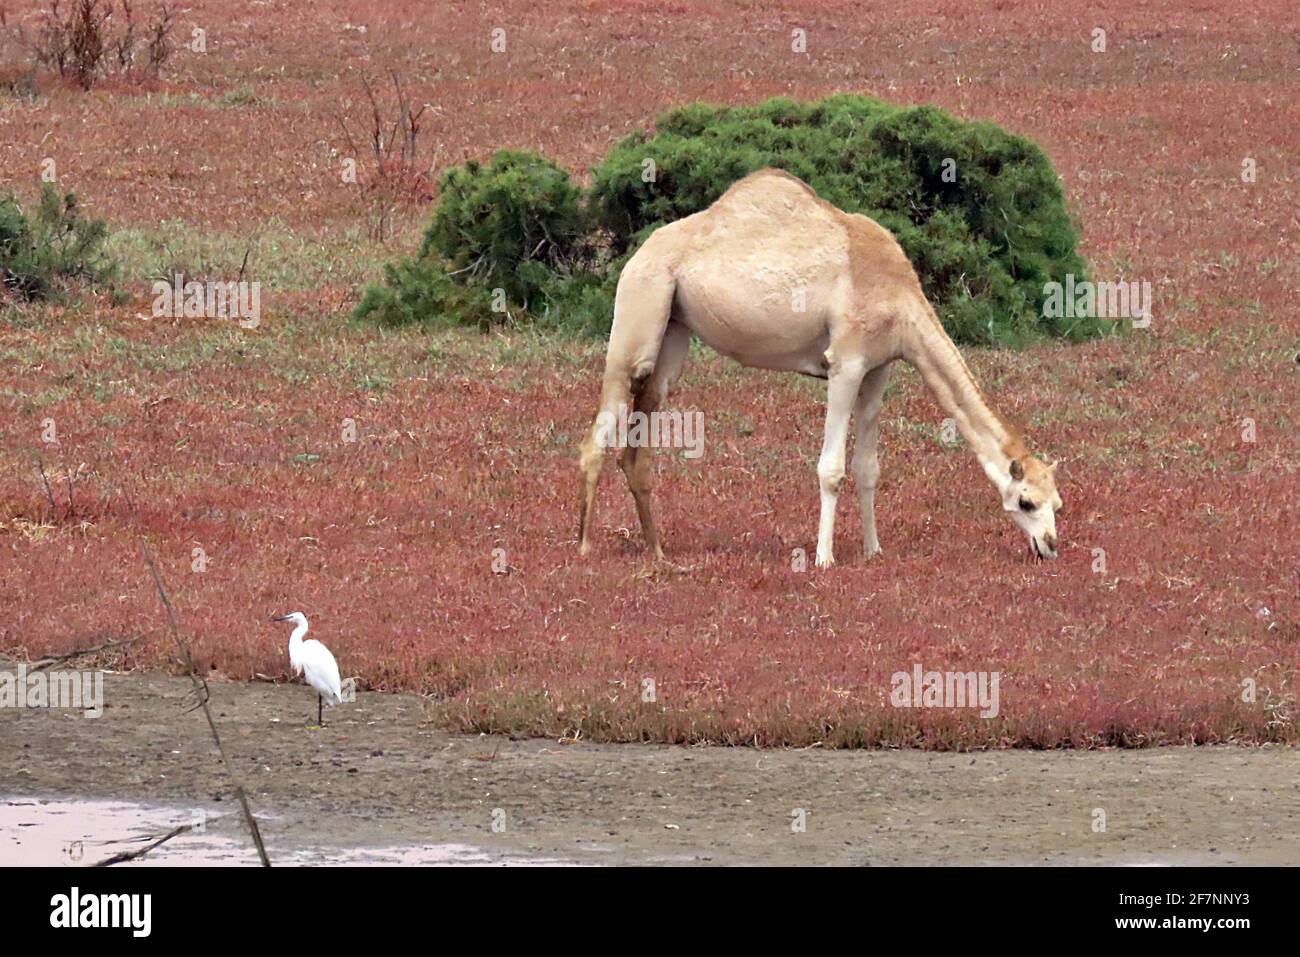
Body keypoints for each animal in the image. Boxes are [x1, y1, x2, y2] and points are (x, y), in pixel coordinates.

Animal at [577, 168, 1062, 567]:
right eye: (1026, 502)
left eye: (1057, 502)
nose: (1051, 545)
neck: (897, 296)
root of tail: (637, 255)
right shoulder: (845, 362)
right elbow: (831, 469)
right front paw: (824, 558)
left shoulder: (879, 368)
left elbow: (867, 468)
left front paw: (873, 550)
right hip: (639, 309)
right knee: (601, 428)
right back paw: (584, 547)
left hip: (673, 330)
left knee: (639, 438)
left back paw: (658, 552)